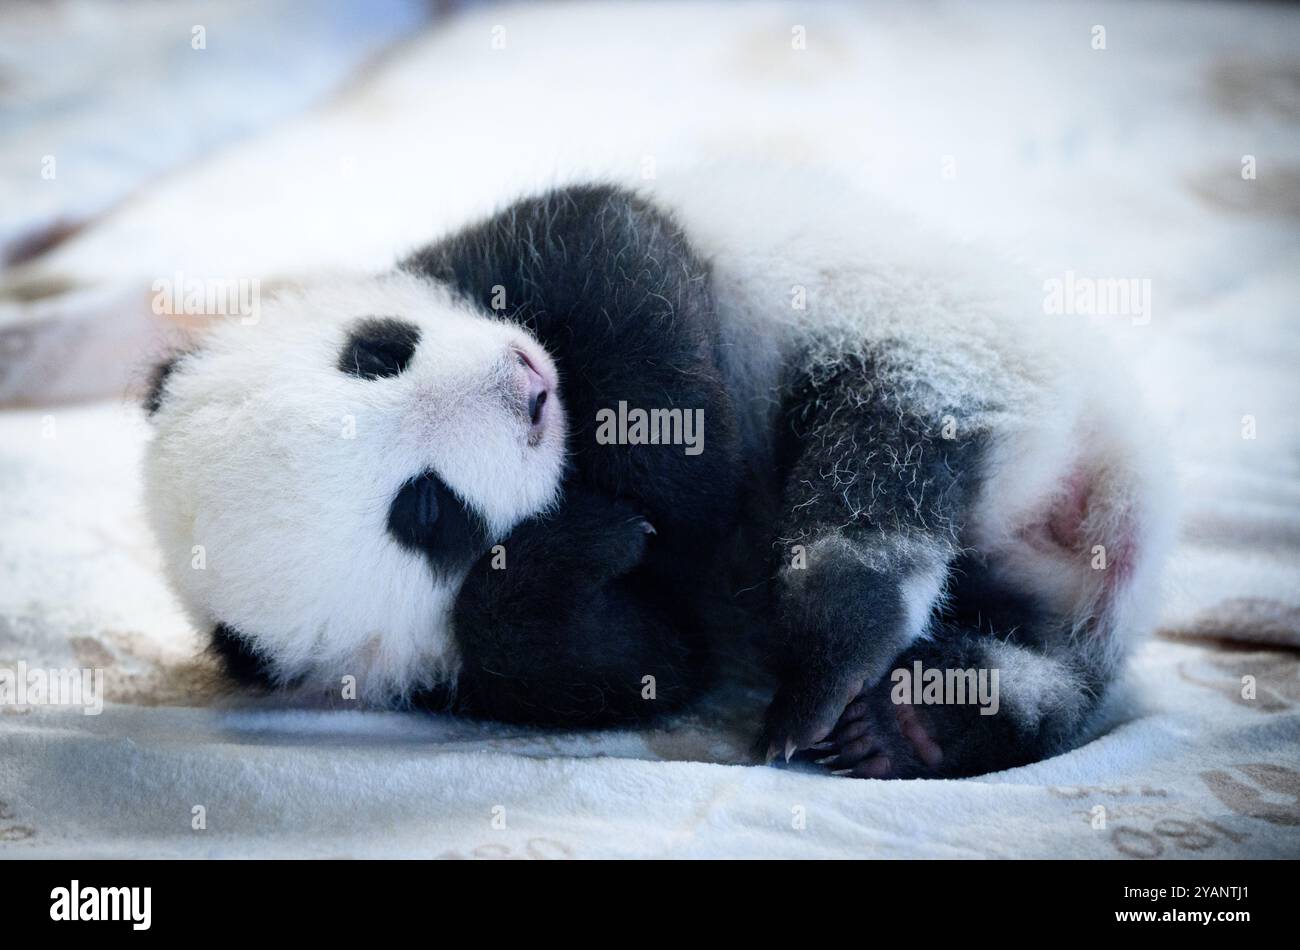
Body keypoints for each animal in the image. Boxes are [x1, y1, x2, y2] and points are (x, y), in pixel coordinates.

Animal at [143, 166, 1172, 779]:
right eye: (425, 511)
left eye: (376, 354)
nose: (524, 391)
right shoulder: (467, 676)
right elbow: (644, 659)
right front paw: (581, 549)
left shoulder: (510, 252)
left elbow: (619, 252)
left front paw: (663, 464)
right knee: (985, 606)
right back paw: (907, 712)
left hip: (949, 334)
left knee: (877, 458)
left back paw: (848, 678)